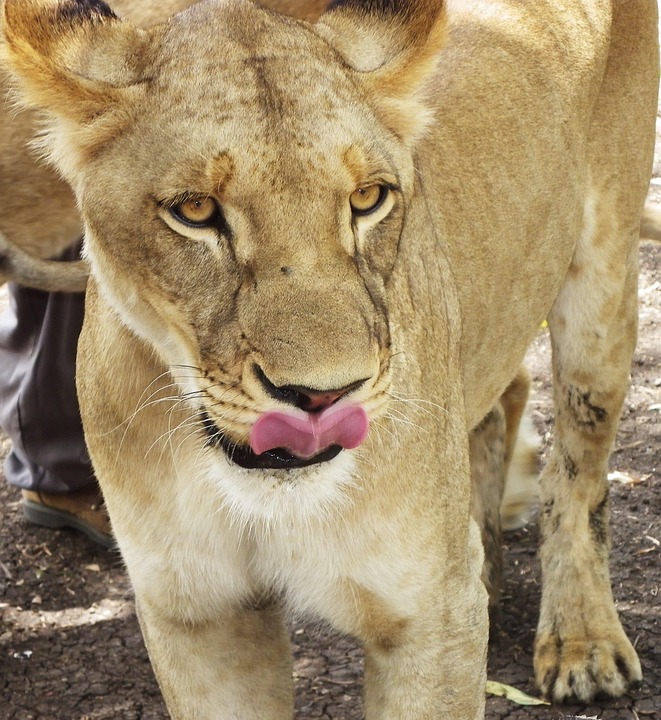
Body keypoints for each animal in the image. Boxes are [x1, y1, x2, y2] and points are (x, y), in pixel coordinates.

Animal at [1, 0, 657, 718]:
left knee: (576, 474)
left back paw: (582, 643)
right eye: (195, 211)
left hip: (601, 290)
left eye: (367, 198)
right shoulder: (197, 616)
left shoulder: (431, 617)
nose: (322, 397)